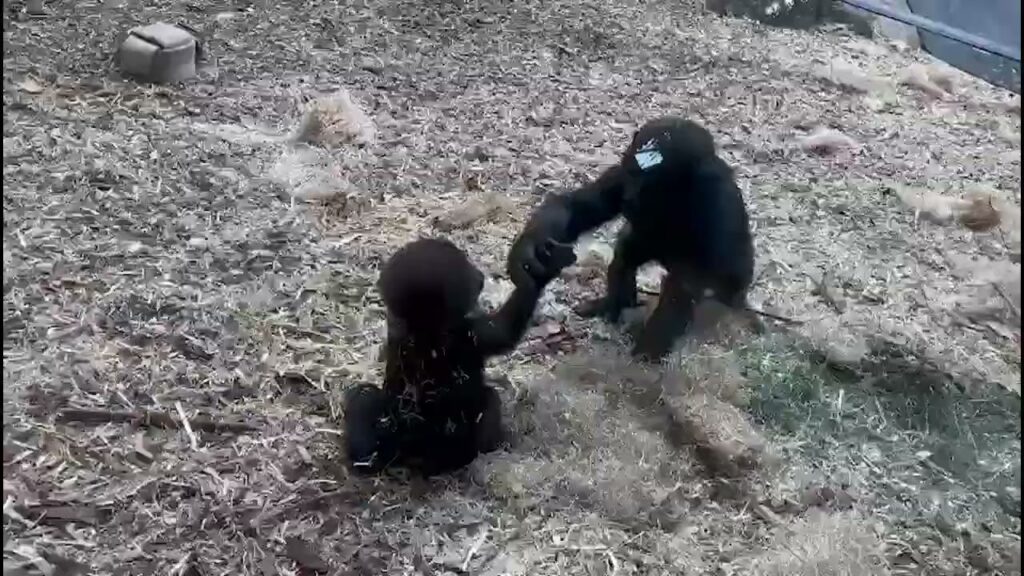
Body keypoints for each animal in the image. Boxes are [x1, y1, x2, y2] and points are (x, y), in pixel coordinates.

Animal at [344, 237, 573, 476]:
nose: (479, 275)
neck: (425, 325)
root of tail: (412, 446)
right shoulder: (469, 330)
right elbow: (504, 331)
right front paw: (536, 276)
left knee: (363, 396)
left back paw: (365, 457)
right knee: (490, 399)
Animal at [507, 116, 757, 361]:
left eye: (646, 182)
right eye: (632, 174)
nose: (629, 194)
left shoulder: (715, 199)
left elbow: (689, 278)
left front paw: (649, 348)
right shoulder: (619, 174)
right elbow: (580, 206)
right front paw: (526, 251)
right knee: (626, 252)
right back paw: (614, 303)